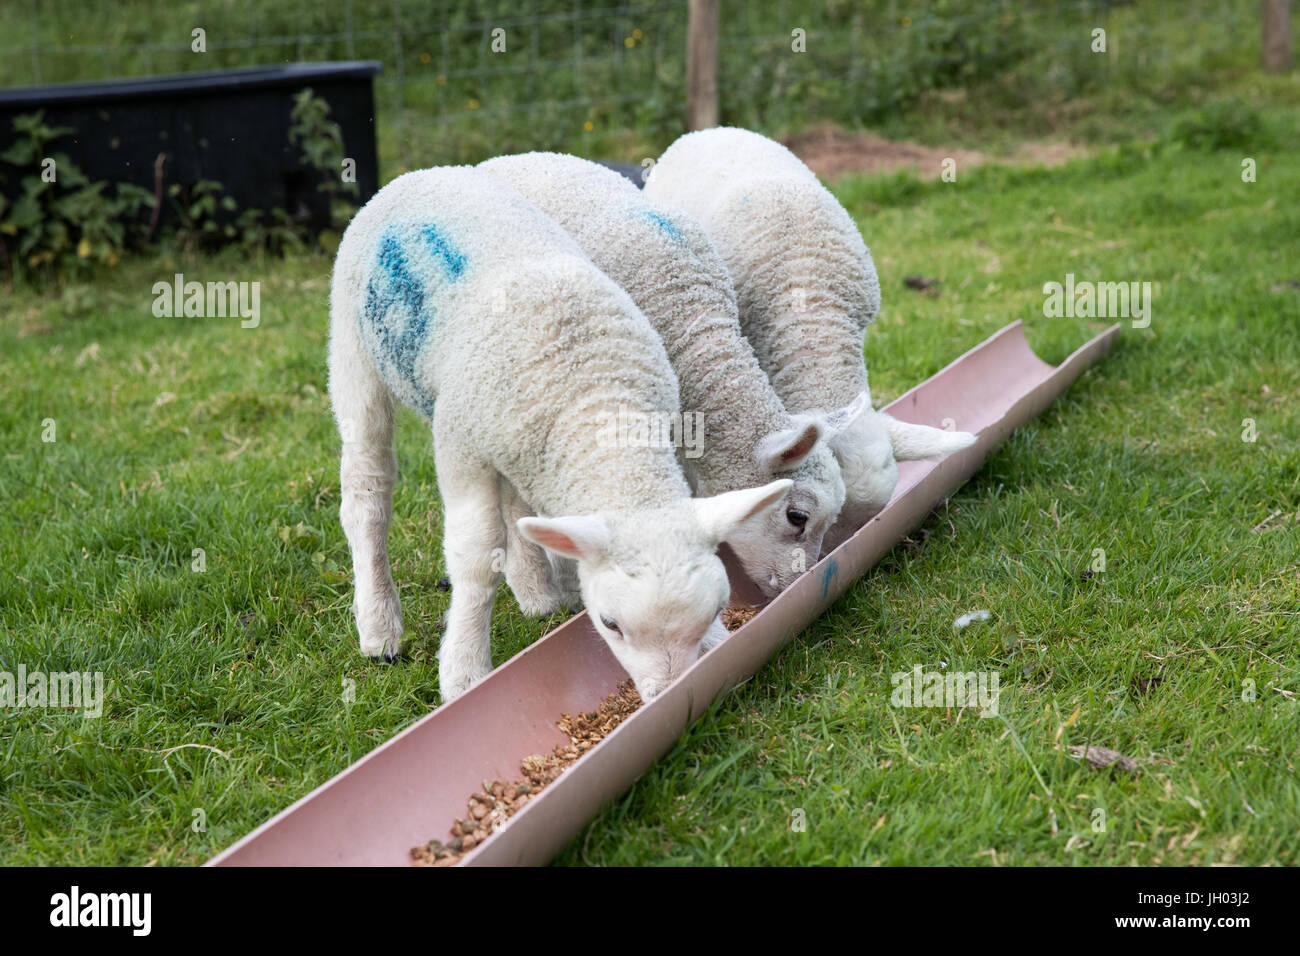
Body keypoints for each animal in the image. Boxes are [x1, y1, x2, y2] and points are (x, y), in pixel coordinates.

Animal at [328, 166, 793, 701]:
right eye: (610, 624)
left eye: (717, 609)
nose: (669, 693)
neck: (591, 393)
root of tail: (421, 174)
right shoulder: (461, 446)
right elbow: (475, 556)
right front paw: (464, 670)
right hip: (353, 350)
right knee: (367, 488)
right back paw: (379, 626)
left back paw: (536, 591)